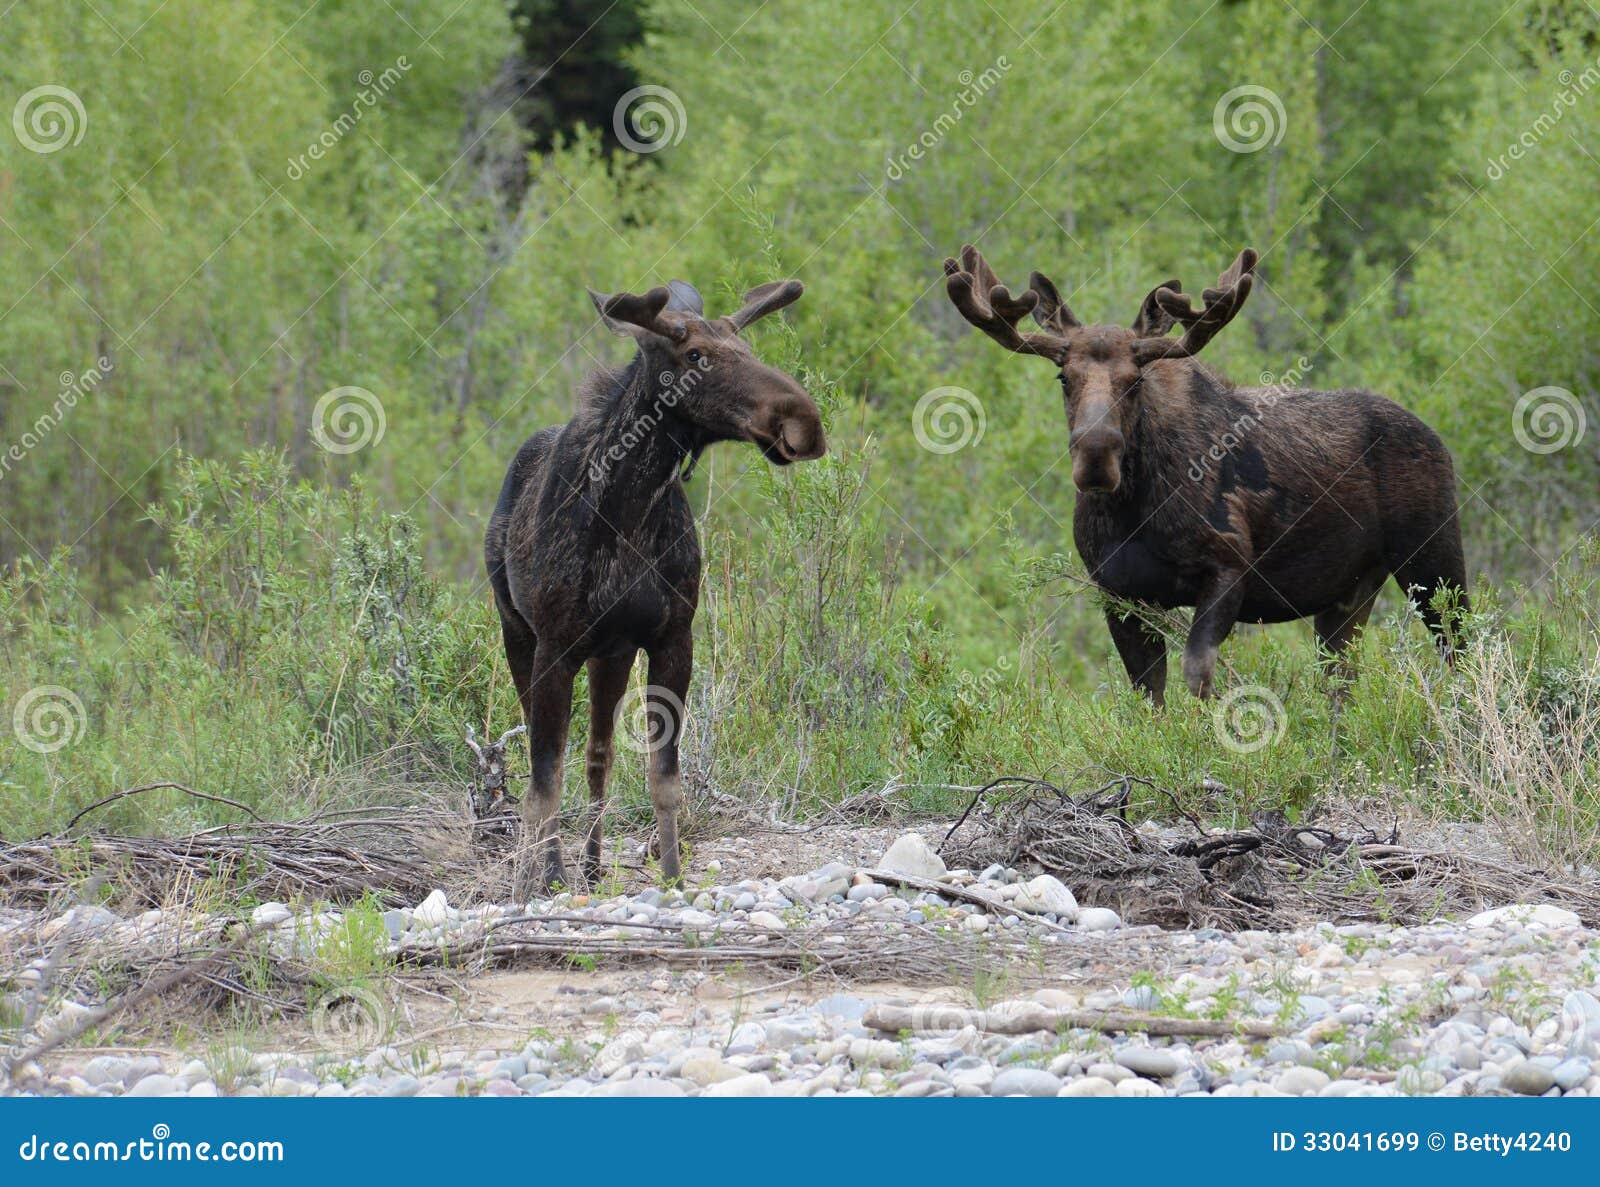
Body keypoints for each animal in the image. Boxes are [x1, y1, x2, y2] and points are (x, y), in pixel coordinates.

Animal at [484, 277, 825, 897]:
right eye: (695, 356)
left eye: (746, 346)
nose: (804, 421)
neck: (630, 510)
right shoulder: (553, 646)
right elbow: (542, 783)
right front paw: (531, 887)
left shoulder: (672, 638)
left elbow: (662, 777)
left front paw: (671, 877)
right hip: (516, 630)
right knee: (561, 761)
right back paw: (554, 869)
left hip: (610, 654)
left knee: (599, 753)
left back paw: (593, 865)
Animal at [943, 244, 1468, 705]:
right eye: (1063, 377)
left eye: (1135, 380)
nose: (1095, 457)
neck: (1133, 512)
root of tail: (1439, 440)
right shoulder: (1117, 593)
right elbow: (1148, 695)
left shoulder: (1229, 567)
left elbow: (1198, 676)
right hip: (1350, 591)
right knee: (1342, 682)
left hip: (1434, 558)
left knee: (1460, 650)